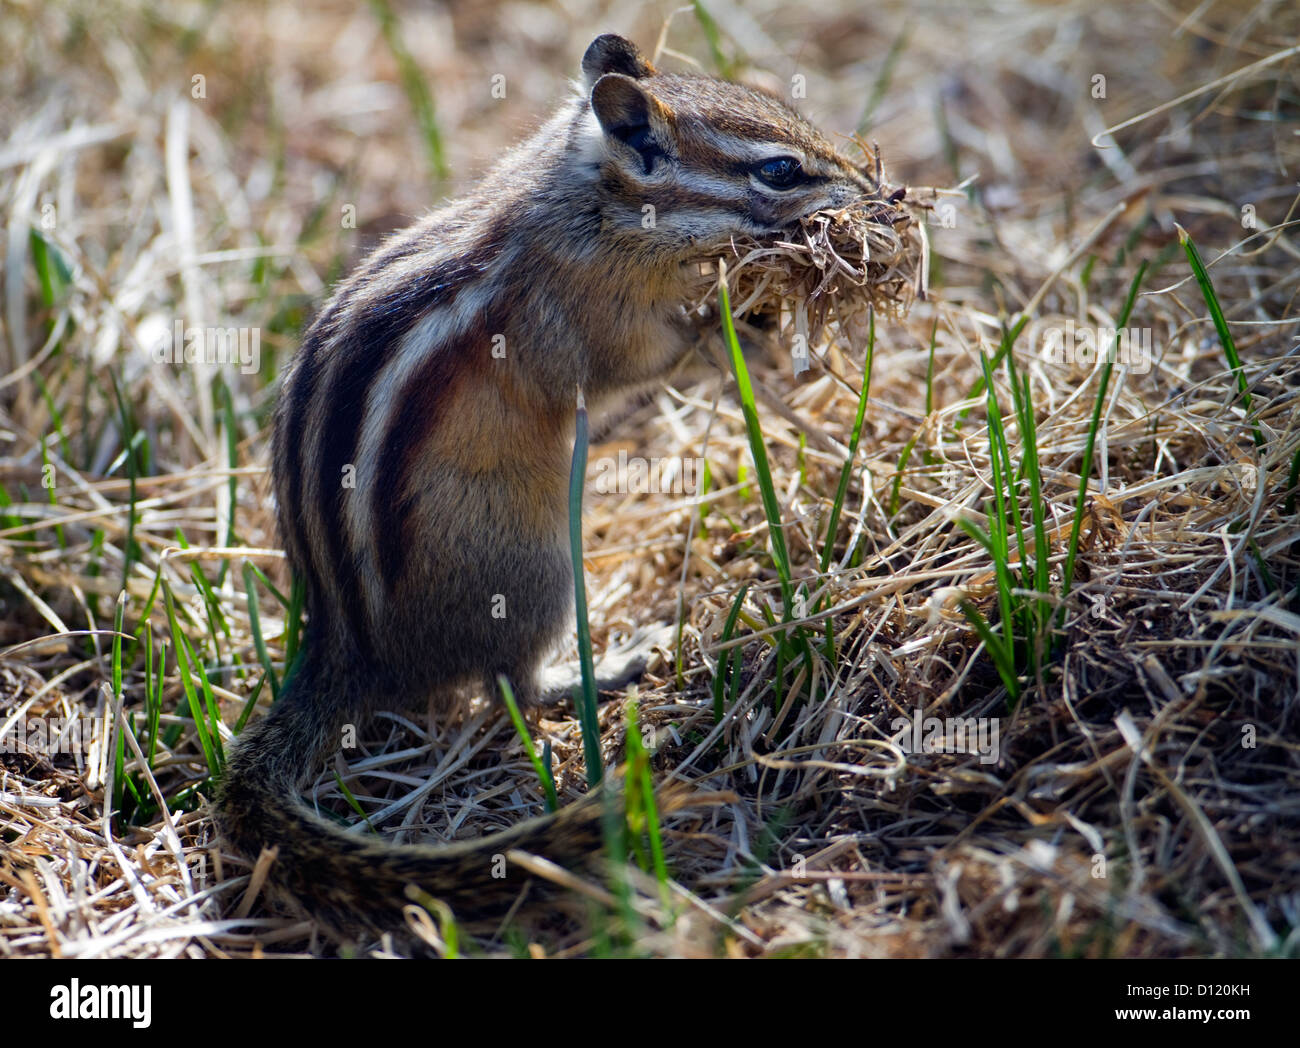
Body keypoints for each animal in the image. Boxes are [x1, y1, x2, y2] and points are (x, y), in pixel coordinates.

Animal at [214, 33, 880, 939]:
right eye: (779, 171)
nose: (875, 190)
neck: (588, 203)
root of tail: (347, 650)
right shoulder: (586, 320)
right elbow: (637, 366)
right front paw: (739, 317)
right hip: (533, 572)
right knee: (512, 688)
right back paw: (612, 665)